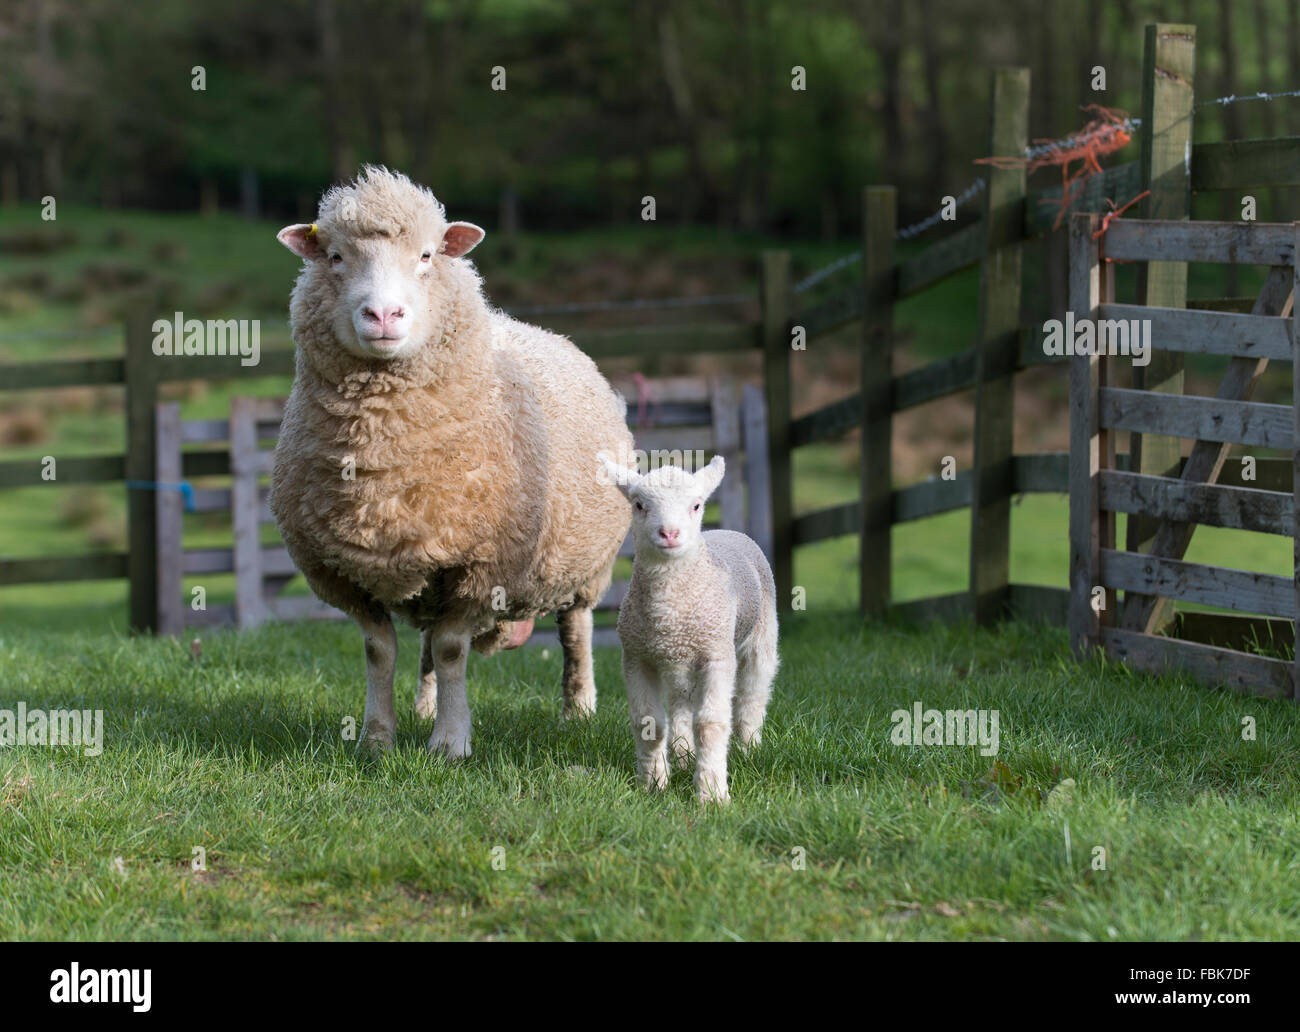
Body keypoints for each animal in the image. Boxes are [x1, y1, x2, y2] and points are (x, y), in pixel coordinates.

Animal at [270, 166, 634, 758]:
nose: (383, 314)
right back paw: (423, 706)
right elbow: (381, 651)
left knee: (575, 632)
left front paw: (450, 743)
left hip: (586, 567)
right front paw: (378, 739)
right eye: (336, 257)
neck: (381, 461)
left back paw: (577, 710)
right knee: (424, 641)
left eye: (426, 255)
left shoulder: (483, 564)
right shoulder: (342, 572)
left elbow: (451, 650)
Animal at [597, 453, 778, 803]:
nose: (669, 533)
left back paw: (750, 748)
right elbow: (649, 723)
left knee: (753, 693)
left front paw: (712, 793)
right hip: (678, 662)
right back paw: (682, 756)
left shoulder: (716, 655)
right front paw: (653, 784)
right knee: (681, 705)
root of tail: (726, 530)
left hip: (761, 636)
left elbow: (710, 724)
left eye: (696, 505)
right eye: (639, 504)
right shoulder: (636, 656)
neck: (670, 613)